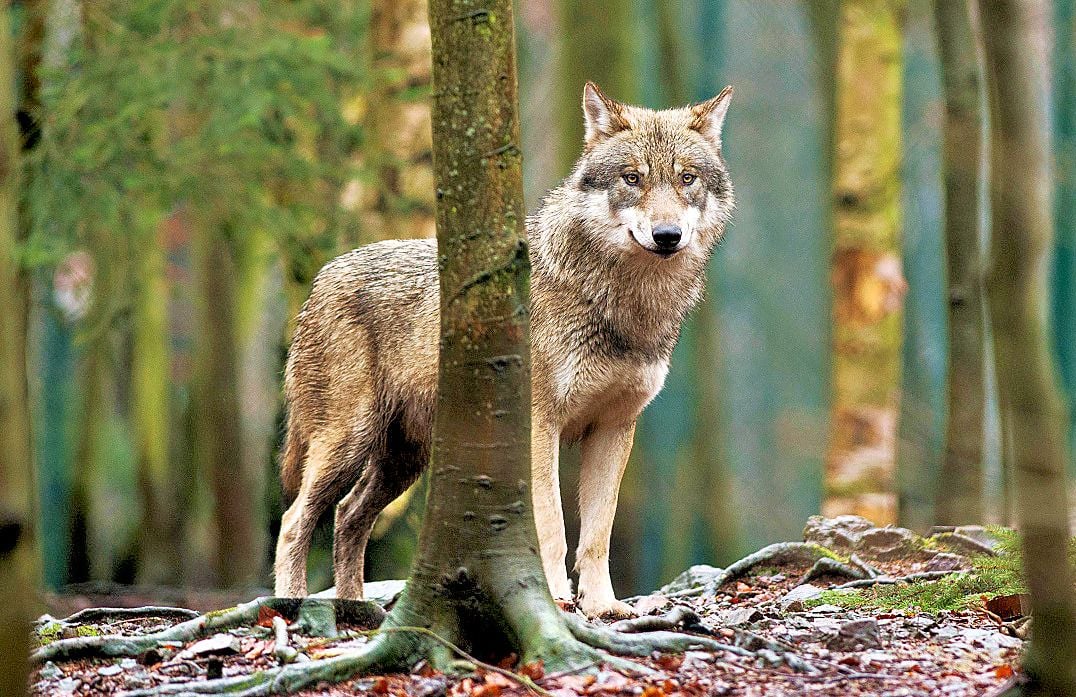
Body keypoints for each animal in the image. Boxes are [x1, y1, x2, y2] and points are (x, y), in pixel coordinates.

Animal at [273, 82, 734, 618]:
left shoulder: (614, 428)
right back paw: (293, 605)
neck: (624, 304)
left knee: (348, 517)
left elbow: (598, 534)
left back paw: (356, 610)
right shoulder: (540, 425)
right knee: (294, 522)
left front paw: (603, 606)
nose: (667, 235)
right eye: (632, 178)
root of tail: (322, 277)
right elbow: (552, 527)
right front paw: (555, 600)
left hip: (403, 461)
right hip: (348, 443)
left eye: (687, 179)